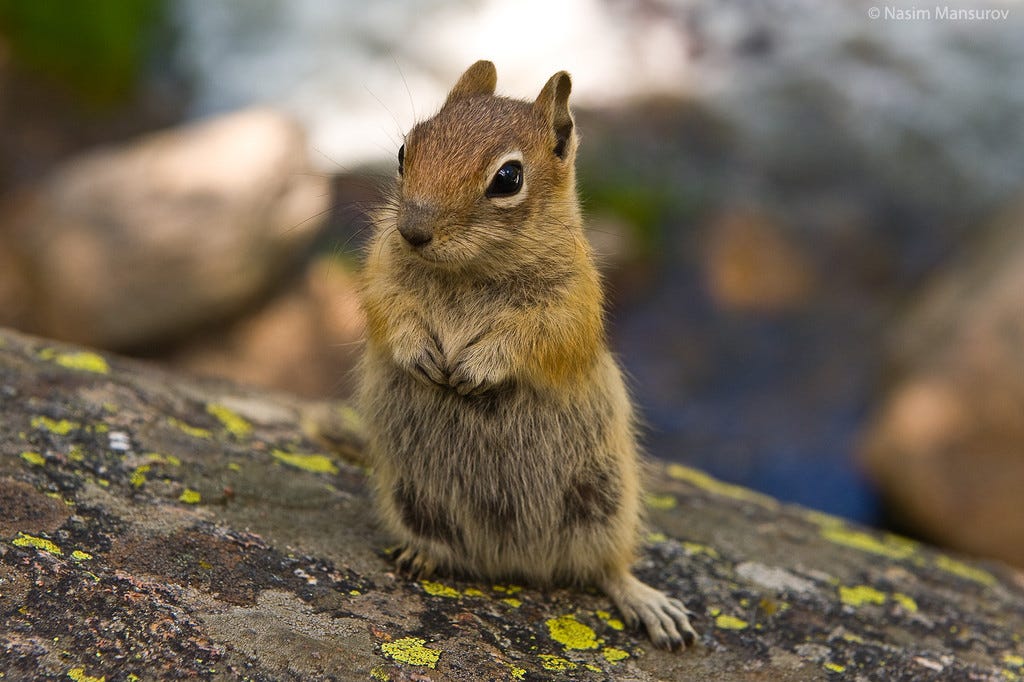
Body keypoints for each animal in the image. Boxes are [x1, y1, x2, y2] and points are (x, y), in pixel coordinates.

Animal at [357, 60, 698, 650]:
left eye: (508, 179)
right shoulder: (381, 271)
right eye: (405, 150)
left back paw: (648, 603)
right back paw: (421, 555)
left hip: (604, 501)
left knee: (607, 568)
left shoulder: (570, 304)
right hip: (414, 498)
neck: (467, 272)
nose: (413, 230)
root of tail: (513, 569)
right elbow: (388, 311)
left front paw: (478, 366)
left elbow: (537, 338)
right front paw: (418, 351)